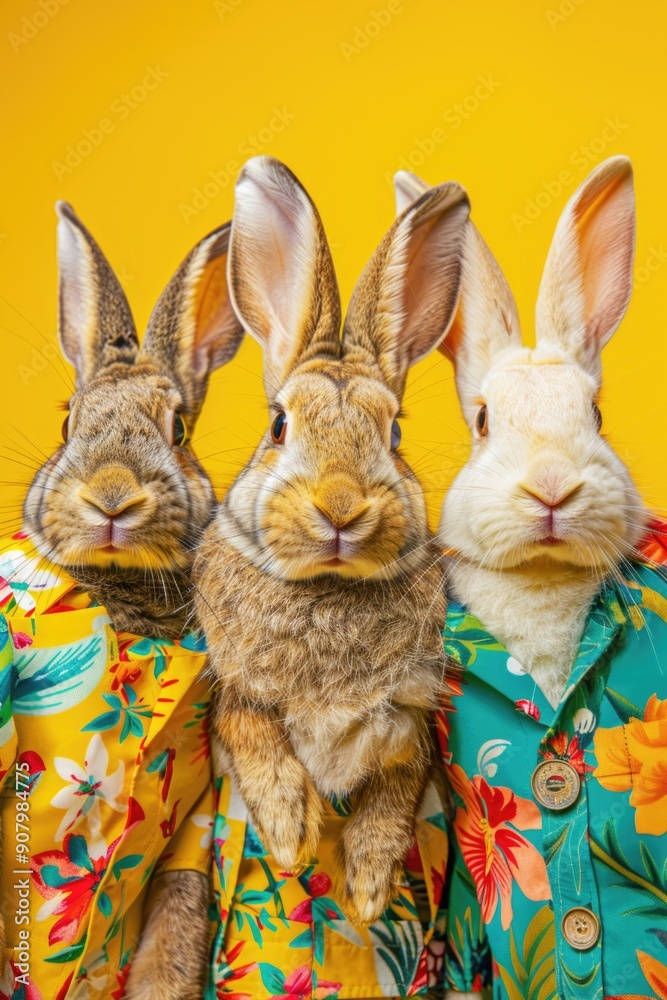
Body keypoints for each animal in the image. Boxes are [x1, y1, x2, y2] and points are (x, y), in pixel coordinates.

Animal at [193, 155, 471, 927]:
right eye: (279, 425)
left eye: (395, 432)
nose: (341, 507)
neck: (330, 589)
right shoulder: (238, 692)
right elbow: (249, 731)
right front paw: (290, 833)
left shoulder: (411, 721)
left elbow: (394, 794)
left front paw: (370, 888)